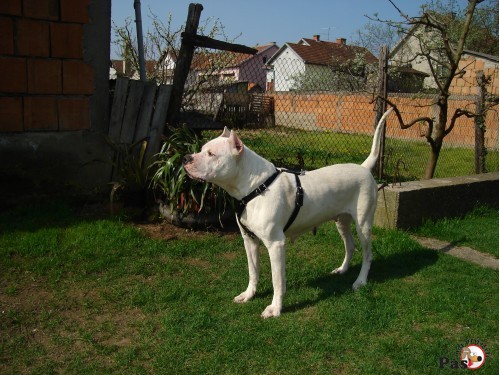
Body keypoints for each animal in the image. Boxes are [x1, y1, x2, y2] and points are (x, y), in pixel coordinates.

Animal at [184, 108, 394, 318]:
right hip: (341, 221)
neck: (255, 186)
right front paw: (249, 294)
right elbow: (253, 271)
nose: (186, 158)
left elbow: (277, 280)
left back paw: (360, 281)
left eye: (211, 154)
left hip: (363, 225)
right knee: (350, 246)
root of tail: (364, 168)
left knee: (367, 254)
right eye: (201, 149)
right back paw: (342, 269)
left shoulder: (276, 245)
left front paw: (275, 308)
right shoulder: (249, 241)